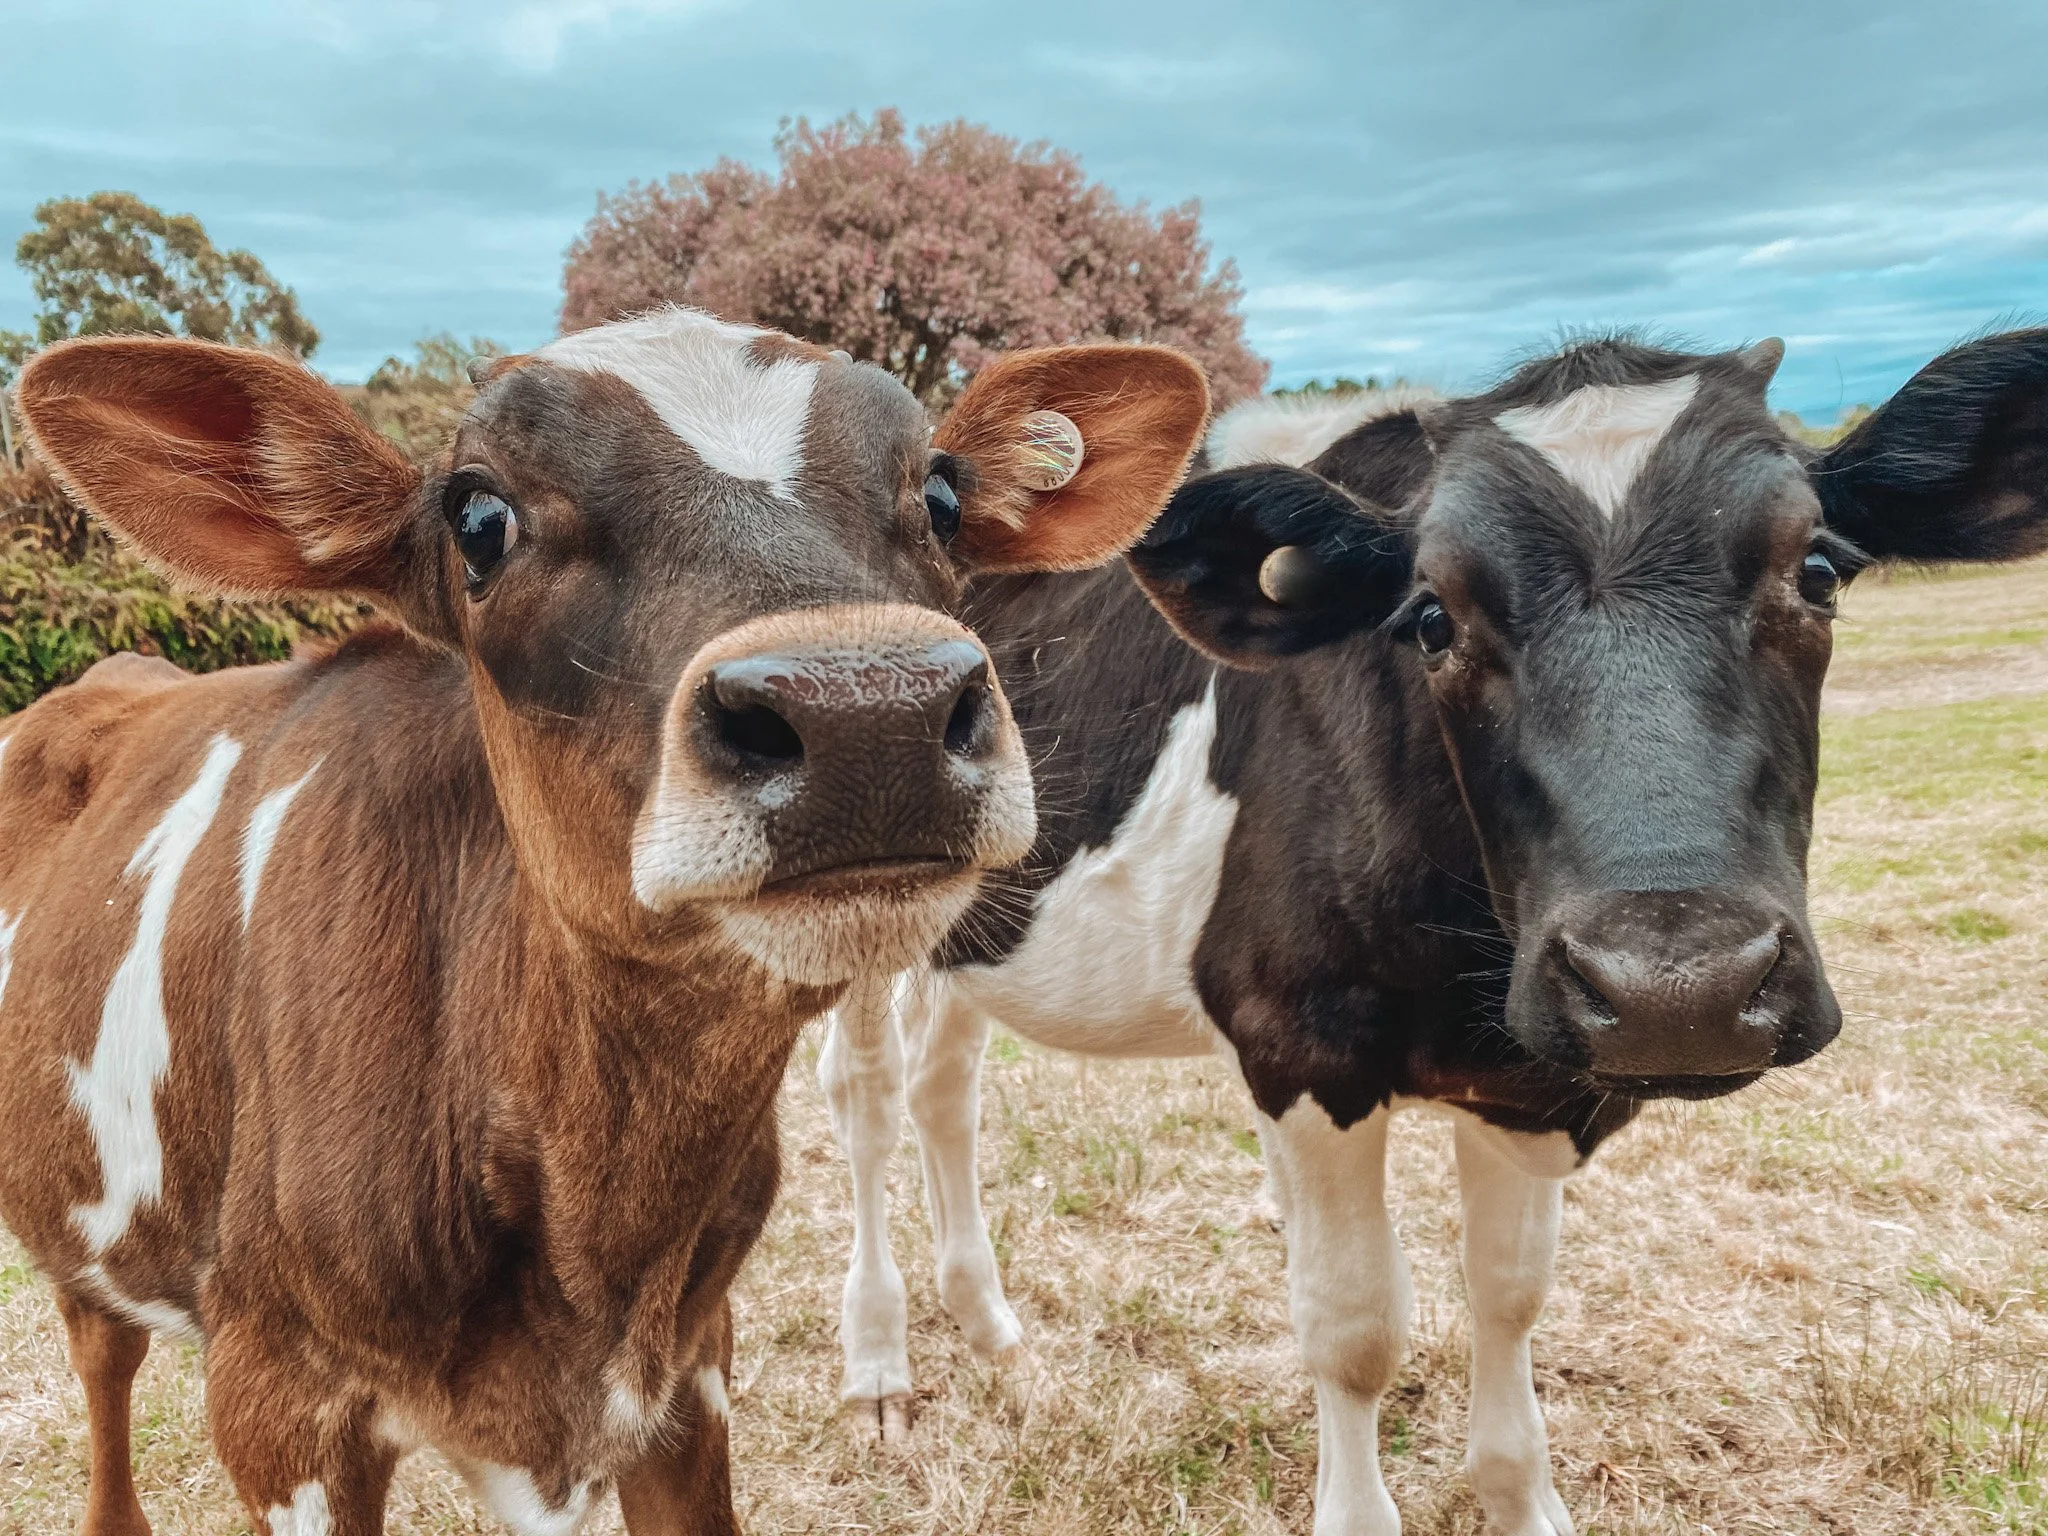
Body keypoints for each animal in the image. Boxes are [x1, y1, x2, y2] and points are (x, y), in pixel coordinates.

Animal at [0, 310, 1208, 1536]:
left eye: (944, 497)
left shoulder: (690, 1366)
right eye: (480, 519)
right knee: (101, 1365)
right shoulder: (278, 1405)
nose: (870, 712)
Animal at [816, 329, 2048, 1535]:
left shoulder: (1535, 1076)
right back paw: (877, 1366)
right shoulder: (1296, 1042)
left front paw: (1522, 1500)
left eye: (1818, 571)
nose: (1675, 986)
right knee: (866, 1098)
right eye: (1429, 617)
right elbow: (1355, 1326)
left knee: (943, 1088)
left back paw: (994, 1335)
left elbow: (1508, 1290)